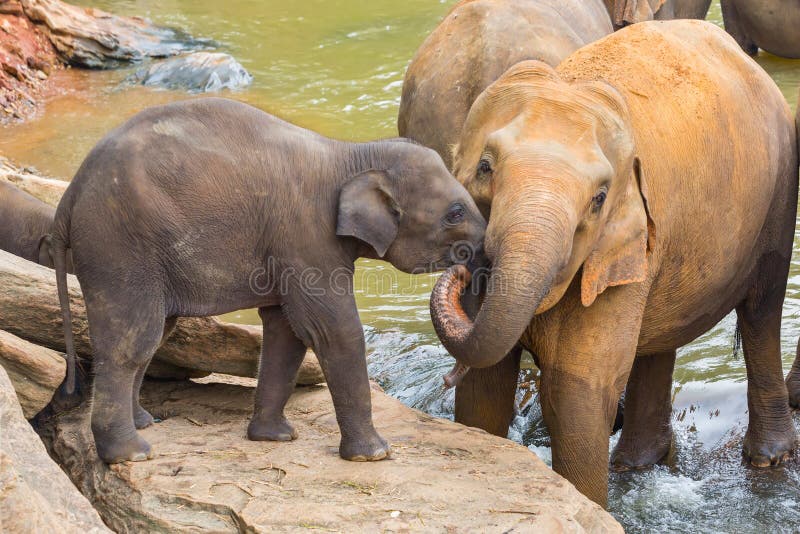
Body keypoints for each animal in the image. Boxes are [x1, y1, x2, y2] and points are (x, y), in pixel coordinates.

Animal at [52, 97, 486, 464]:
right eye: (455, 213)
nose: (446, 381)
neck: (351, 155)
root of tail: (70, 196)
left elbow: (286, 333)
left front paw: (274, 437)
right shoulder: (306, 238)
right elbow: (332, 330)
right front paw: (375, 455)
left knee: (156, 331)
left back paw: (143, 423)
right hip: (119, 246)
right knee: (133, 341)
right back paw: (131, 454)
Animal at [429, 20, 798, 506]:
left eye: (599, 198)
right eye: (485, 168)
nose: (461, 271)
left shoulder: (618, 247)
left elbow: (578, 387)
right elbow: (486, 386)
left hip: (778, 198)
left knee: (762, 308)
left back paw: (768, 460)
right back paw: (637, 464)